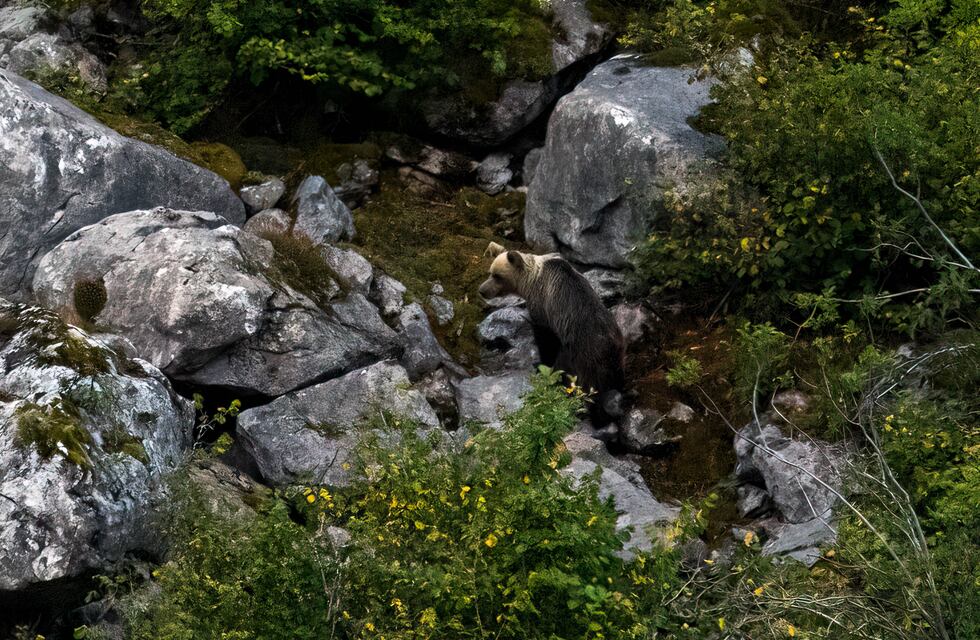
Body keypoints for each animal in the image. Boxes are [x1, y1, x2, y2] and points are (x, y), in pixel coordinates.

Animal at [478, 242, 625, 425]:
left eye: (497, 276)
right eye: (490, 272)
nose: (482, 290)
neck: (529, 282)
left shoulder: (543, 306)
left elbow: (546, 339)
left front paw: (540, 366)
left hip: (585, 354)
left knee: (590, 388)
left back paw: (592, 414)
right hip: (617, 350)